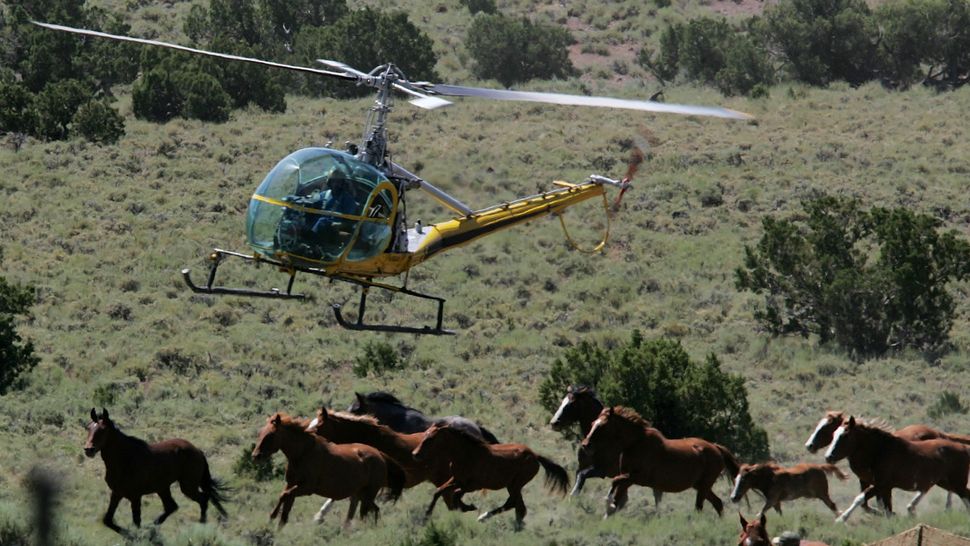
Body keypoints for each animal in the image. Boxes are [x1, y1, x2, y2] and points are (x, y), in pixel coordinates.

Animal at [83, 408, 229, 535]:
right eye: (88, 427)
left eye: (103, 430)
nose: (88, 449)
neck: (125, 459)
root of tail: (197, 450)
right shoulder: (116, 493)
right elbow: (107, 520)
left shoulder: (135, 496)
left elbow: (136, 521)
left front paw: (136, 535)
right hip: (163, 488)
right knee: (172, 506)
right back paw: (153, 526)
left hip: (187, 486)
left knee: (202, 499)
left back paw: (201, 526)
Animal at [252, 412, 405, 527]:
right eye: (260, 433)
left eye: (270, 435)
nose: (255, 456)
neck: (303, 453)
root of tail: (380, 455)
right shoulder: (292, 484)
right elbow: (285, 507)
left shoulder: (307, 488)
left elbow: (284, 496)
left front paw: (272, 516)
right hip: (361, 494)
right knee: (372, 510)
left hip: (368, 494)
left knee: (368, 512)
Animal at [411, 422, 569, 528]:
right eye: (424, 434)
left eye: (430, 439)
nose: (415, 454)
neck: (466, 455)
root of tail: (535, 456)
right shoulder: (456, 479)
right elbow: (439, 491)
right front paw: (425, 517)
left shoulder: (473, 485)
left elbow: (455, 495)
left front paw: (468, 507)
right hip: (512, 486)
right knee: (513, 504)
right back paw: (486, 518)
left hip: (515, 484)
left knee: (517, 506)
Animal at [582, 406, 740, 517]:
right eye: (593, 422)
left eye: (602, 426)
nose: (585, 444)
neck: (635, 443)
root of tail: (716, 448)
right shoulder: (627, 478)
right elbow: (617, 492)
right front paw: (609, 510)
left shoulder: (636, 477)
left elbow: (615, 481)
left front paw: (608, 502)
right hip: (701, 486)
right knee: (717, 503)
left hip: (703, 486)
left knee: (700, 507)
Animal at [805, 410, 970, 509]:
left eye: (826, 428)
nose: (809, 445)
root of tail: (940, 434)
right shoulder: (869, 481)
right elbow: (871, 503)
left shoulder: (881, 483)